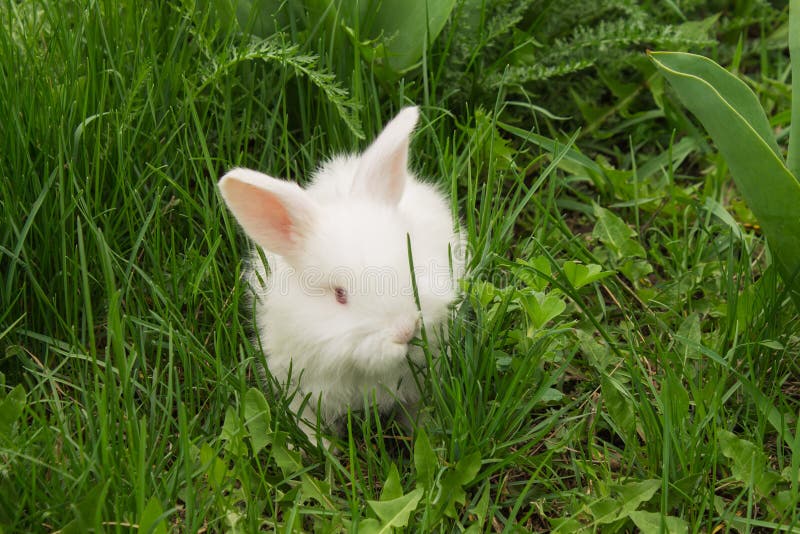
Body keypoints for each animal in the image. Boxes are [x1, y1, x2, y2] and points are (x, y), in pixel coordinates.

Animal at [218, 106, 465, 447]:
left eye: (411, 266)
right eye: (339, 294)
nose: (405, 331)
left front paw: (427, 434)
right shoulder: (300, 387)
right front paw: (315, 447)